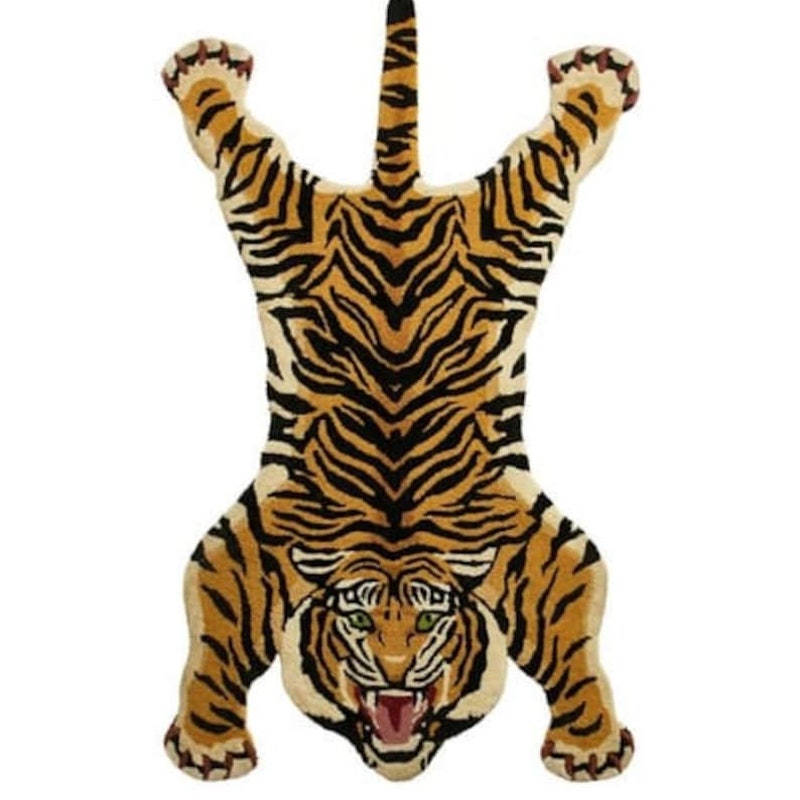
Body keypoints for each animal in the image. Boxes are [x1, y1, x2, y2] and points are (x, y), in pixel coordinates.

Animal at [161, 0, 639, 783]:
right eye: (358, 622)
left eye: (428, 621)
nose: (392, 671)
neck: (391, 535)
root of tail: (397, 193)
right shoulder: (247, 549)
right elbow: (215, 630)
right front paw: (211, 747)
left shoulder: (545, 555)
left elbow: (573, 636)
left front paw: (589, 748)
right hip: (281, 203)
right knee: (238, 141)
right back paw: (205, 67)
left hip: (510, 210)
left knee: (557, 145)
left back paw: (594, 75)